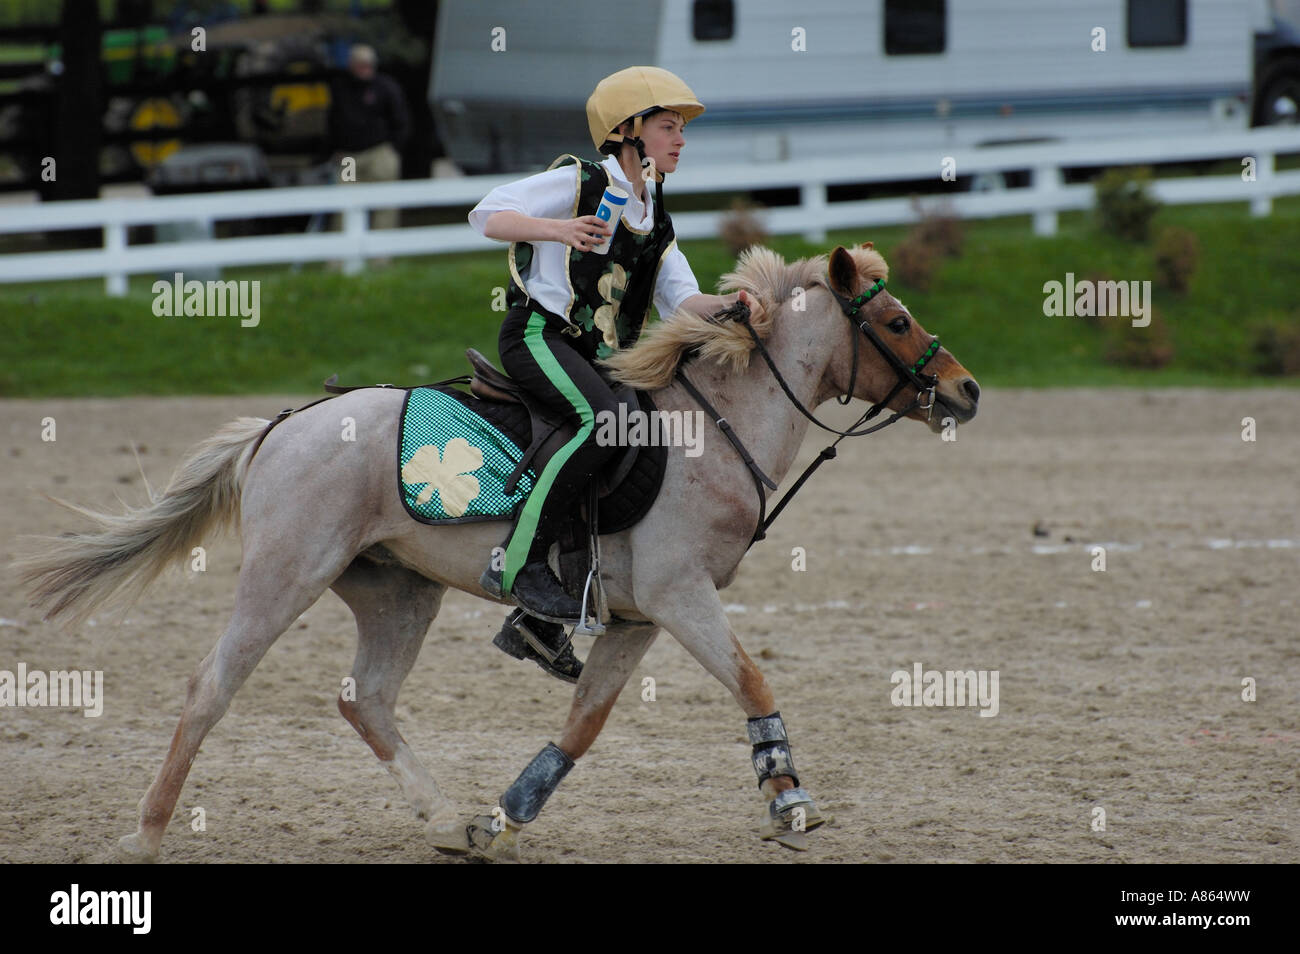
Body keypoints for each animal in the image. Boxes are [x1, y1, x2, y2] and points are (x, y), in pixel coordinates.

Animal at [18, 242, 979, 861]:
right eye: (896, 319)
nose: (967, 390)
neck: (710, 429)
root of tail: (282, 426)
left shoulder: (637, 618)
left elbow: (585, 722)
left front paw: (508, 814)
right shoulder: (681, 597)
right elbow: (753, 681)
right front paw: (789, 801)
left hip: (399, 593)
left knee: (367, 700)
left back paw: (446, 821)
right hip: (283, 577)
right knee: (210, 688)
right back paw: (145, 835)